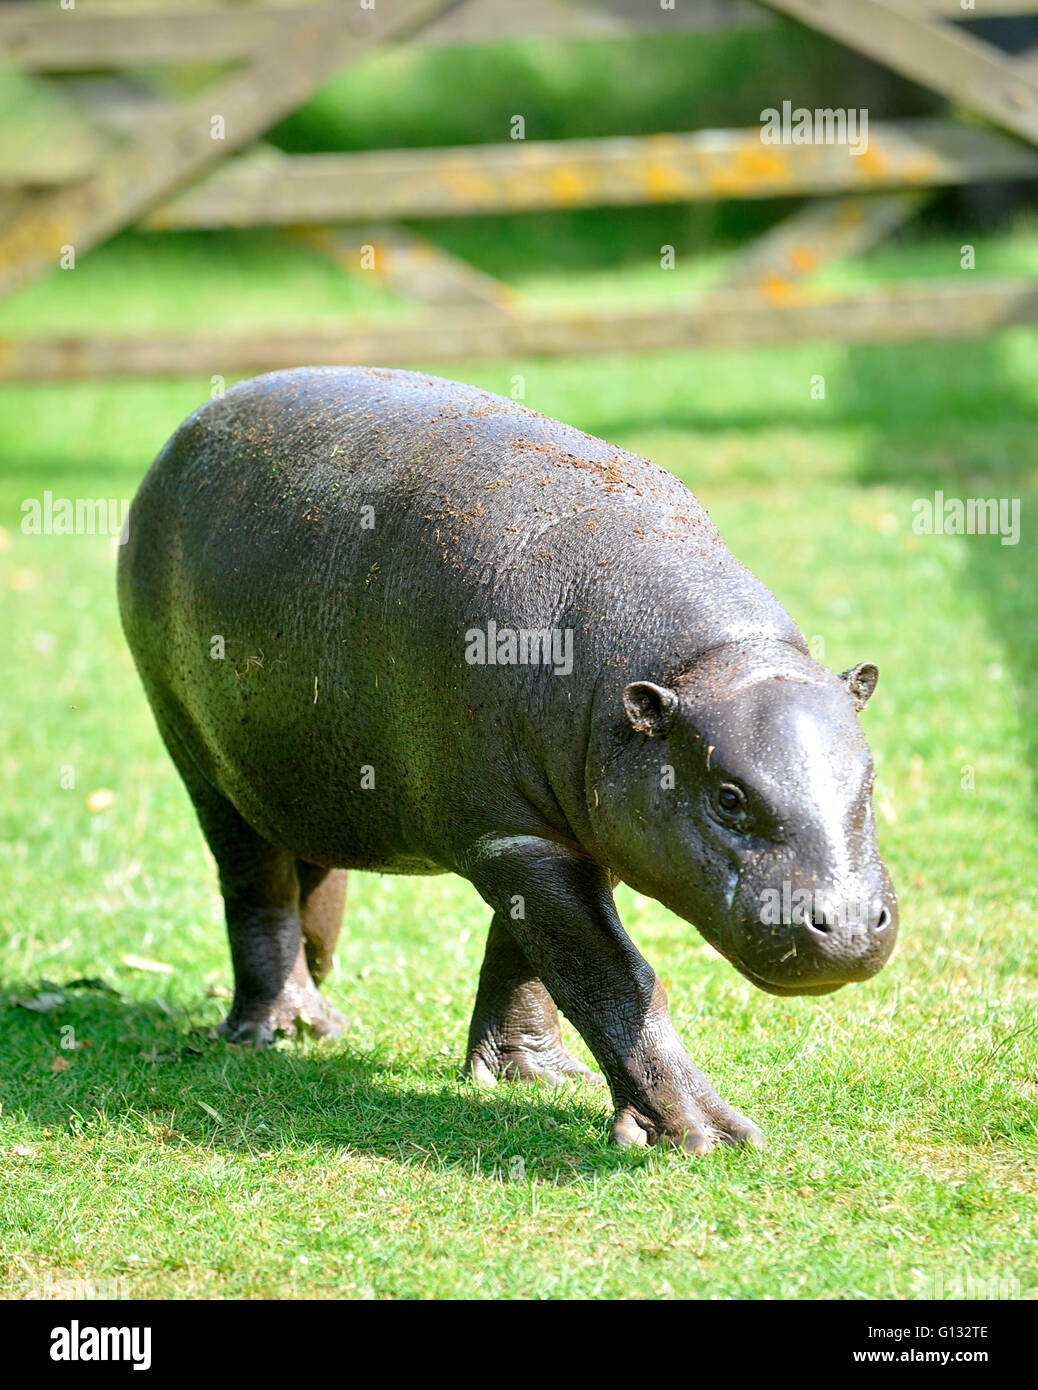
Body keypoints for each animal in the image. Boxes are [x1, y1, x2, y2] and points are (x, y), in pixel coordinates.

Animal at [118, 367, 898, 1153]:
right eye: (728, 798)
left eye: (870, 778)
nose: (848, 924)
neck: (704, 664)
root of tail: (195, 421)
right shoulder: (513, 838)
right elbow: (615, 976)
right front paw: (707, 1134)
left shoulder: (560, 832)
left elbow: (529, 960)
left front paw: (534, 1076)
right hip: (194, 750)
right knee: (255, 886)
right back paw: (282, 1029)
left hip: (296, 769)